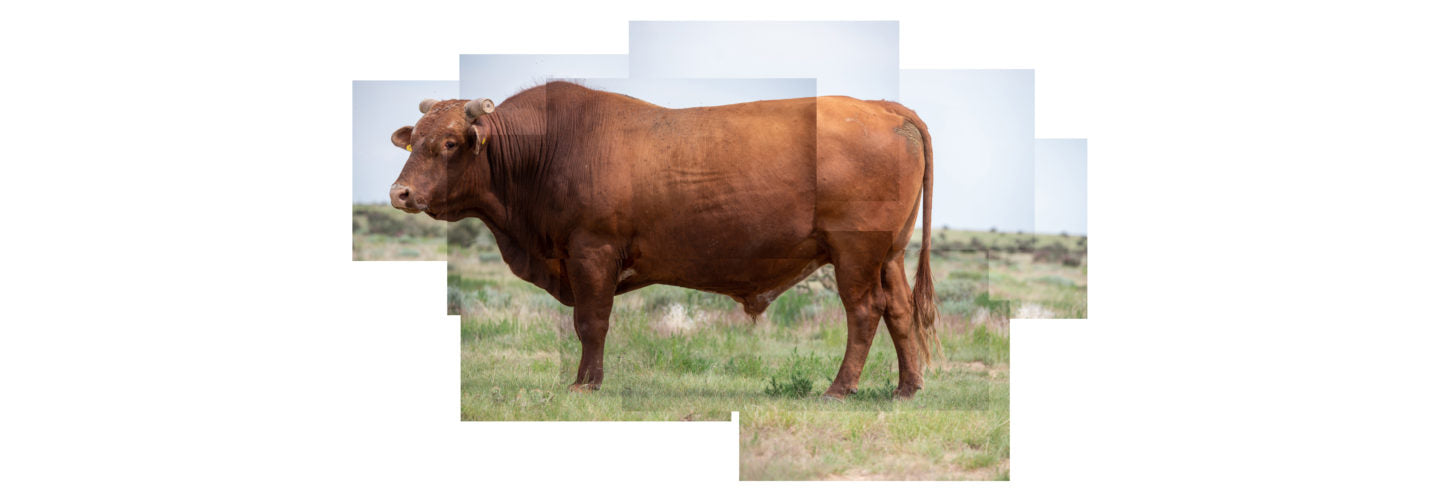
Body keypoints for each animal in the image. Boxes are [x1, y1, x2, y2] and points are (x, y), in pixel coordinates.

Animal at [388, 81, 937, 399]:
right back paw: (907, 388)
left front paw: (586, 384)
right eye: (414, 140)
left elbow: (590, 323)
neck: (548, 147)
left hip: (854, 251)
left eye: (450, 143)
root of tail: (882, 108)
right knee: (899, 310)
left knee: (864, 311)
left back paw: (839, 389)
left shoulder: (592, 251)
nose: (400, 193)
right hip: (889, 252)